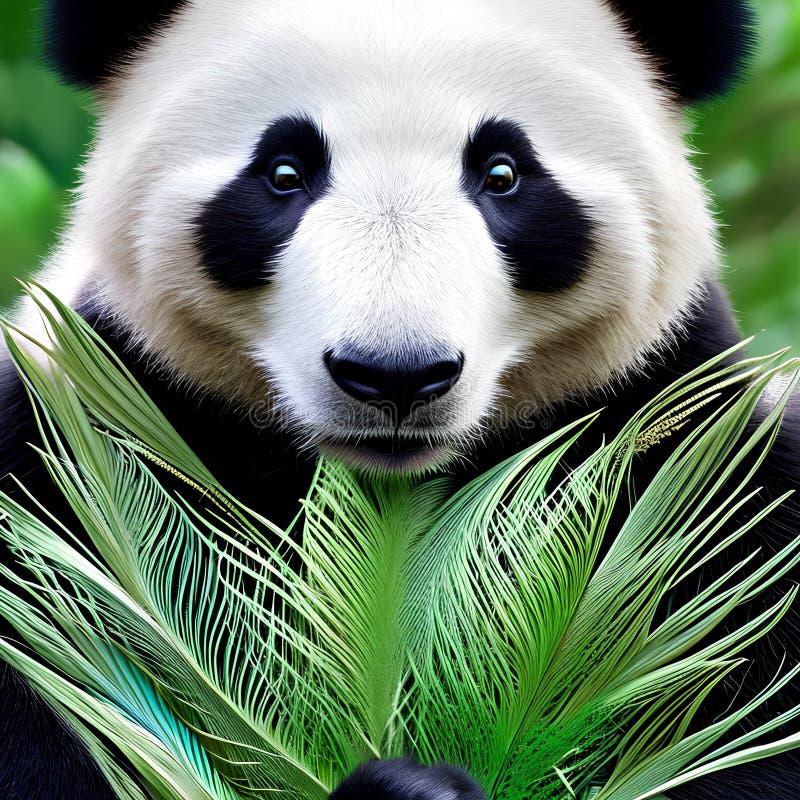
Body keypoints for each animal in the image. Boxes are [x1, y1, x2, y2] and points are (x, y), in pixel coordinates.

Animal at [0, 0, 798, 797]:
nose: (395, 375)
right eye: (284, 172)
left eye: (502, 173)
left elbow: (760, 707)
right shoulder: (71, 424)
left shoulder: (696, 443)